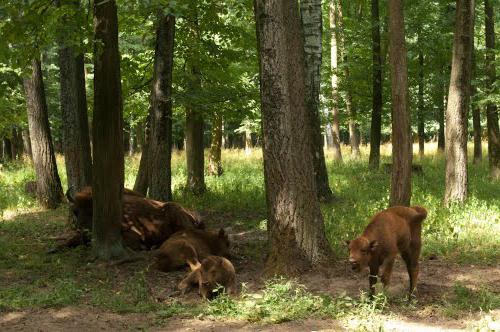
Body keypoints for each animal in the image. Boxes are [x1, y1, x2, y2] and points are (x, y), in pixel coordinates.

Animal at [51, 185, 204, 253]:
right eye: (75, 211)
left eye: (92, 212)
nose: (83, 230)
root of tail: (191, 212)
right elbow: (71, 240)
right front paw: (54, 249)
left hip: (174, 212)